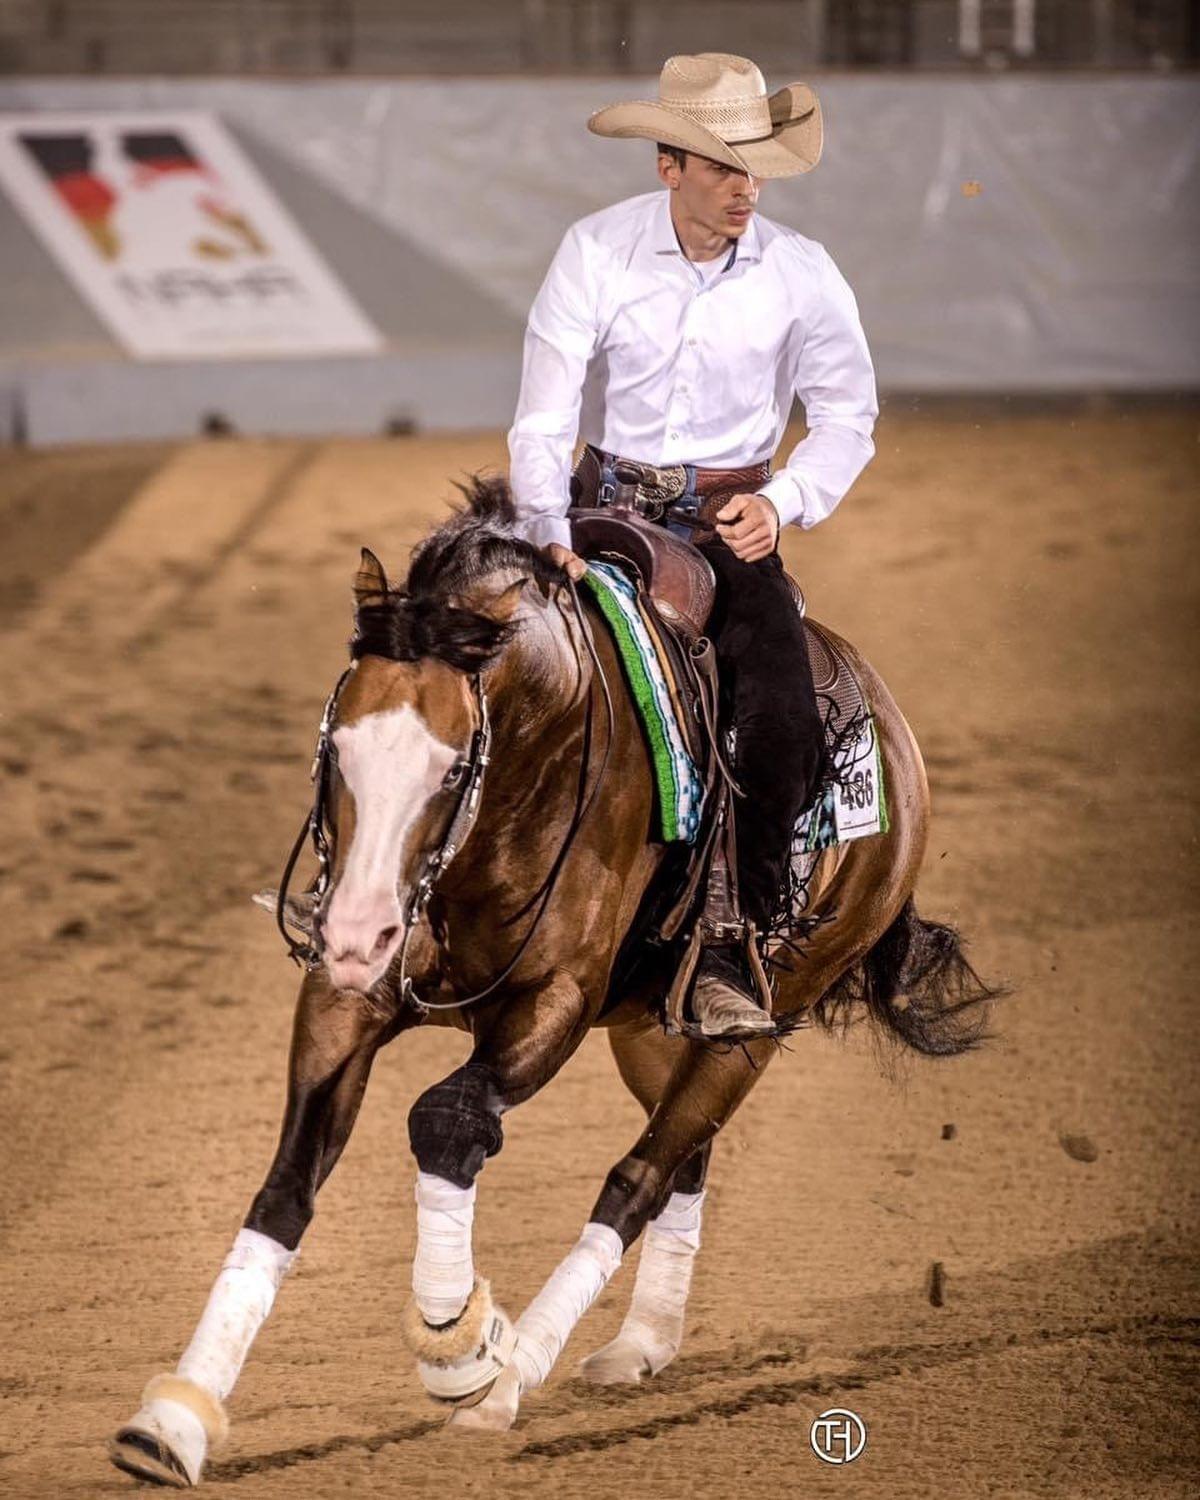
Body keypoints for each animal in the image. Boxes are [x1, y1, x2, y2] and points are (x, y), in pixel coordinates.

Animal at [110, 477, 992, 1488]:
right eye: (336, 750)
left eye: (454, 767)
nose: (357, 932)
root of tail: (896, 739)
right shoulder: (345, 1001)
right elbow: (288, 1185)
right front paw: (172, 1422)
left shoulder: (553, 1003)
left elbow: (448, 1121)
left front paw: (459, 1350)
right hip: (653, 1030)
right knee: (685, 1160)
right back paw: (640, 1343)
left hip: (761, 1022)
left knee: (639, 1176)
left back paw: (511, 1381)